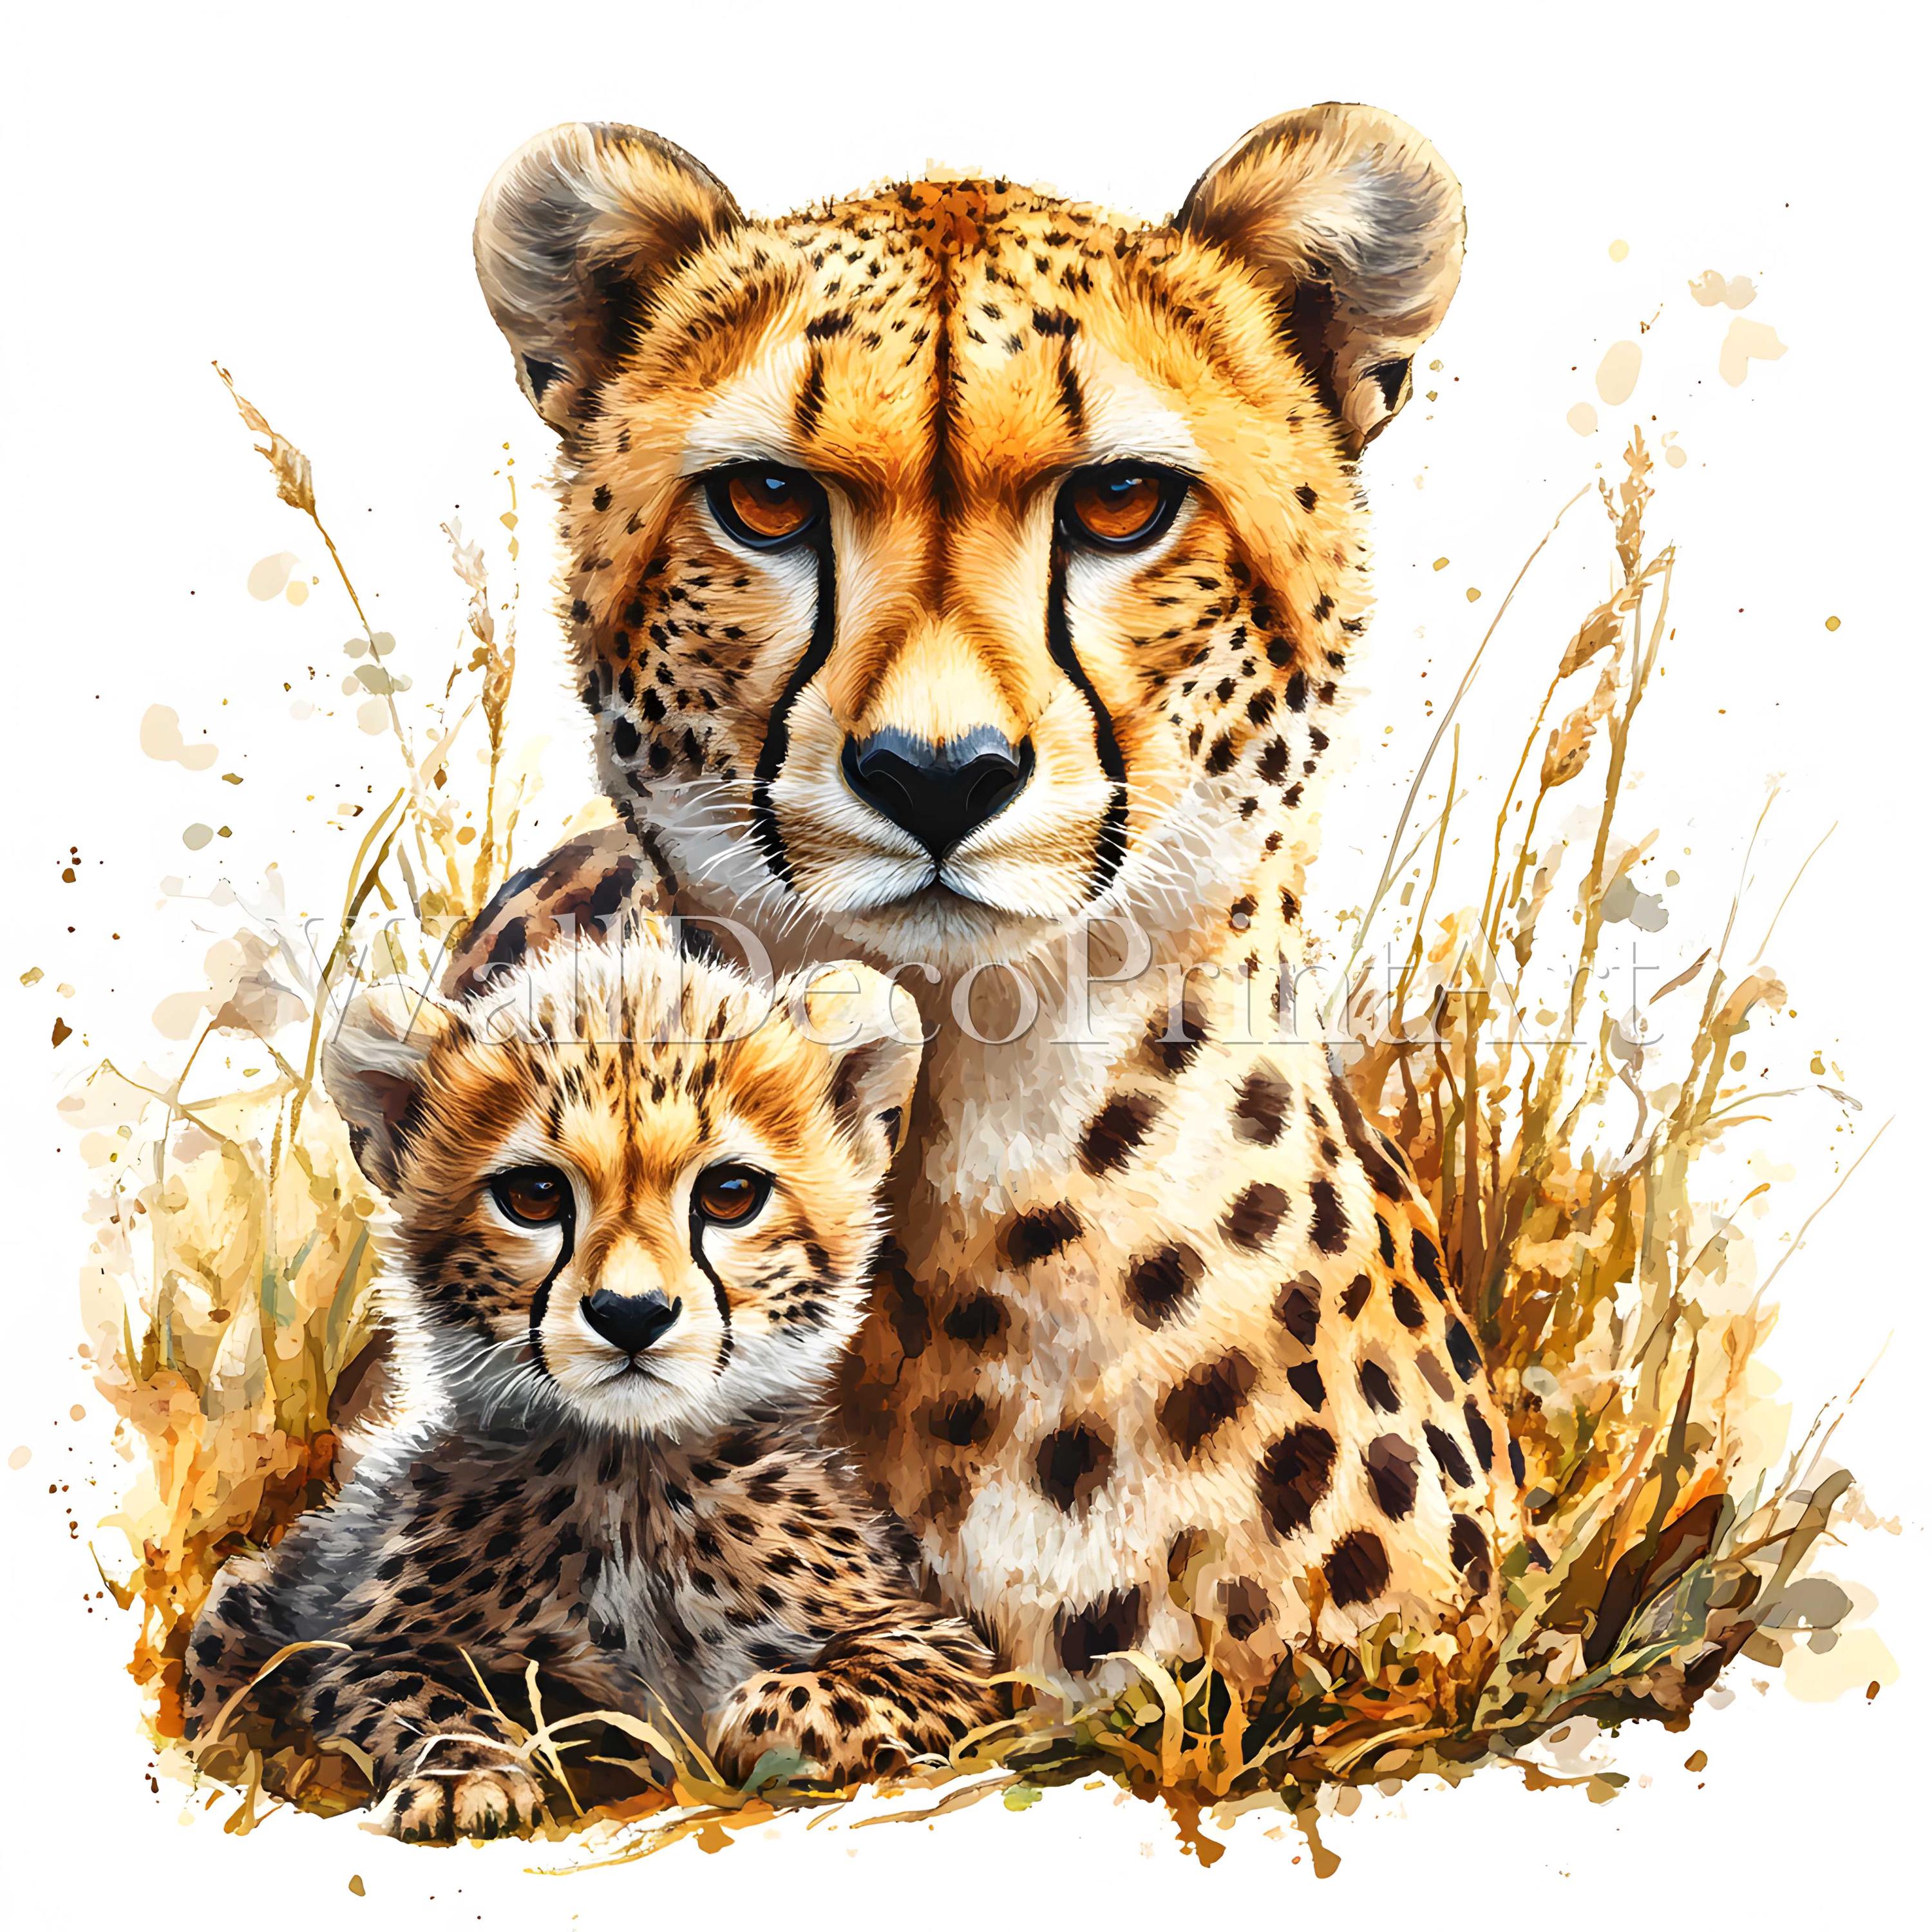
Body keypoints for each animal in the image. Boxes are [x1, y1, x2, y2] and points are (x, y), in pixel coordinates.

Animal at [180, 926, 1000, 1840]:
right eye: (535, 1195)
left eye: (731, 1193)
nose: (631, 1313)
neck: (629, 1478)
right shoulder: (334, 1631)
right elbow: (398, 1688)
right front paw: (469, 1772)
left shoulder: (935, 1639)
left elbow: (879, 1671)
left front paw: (774, 1714)